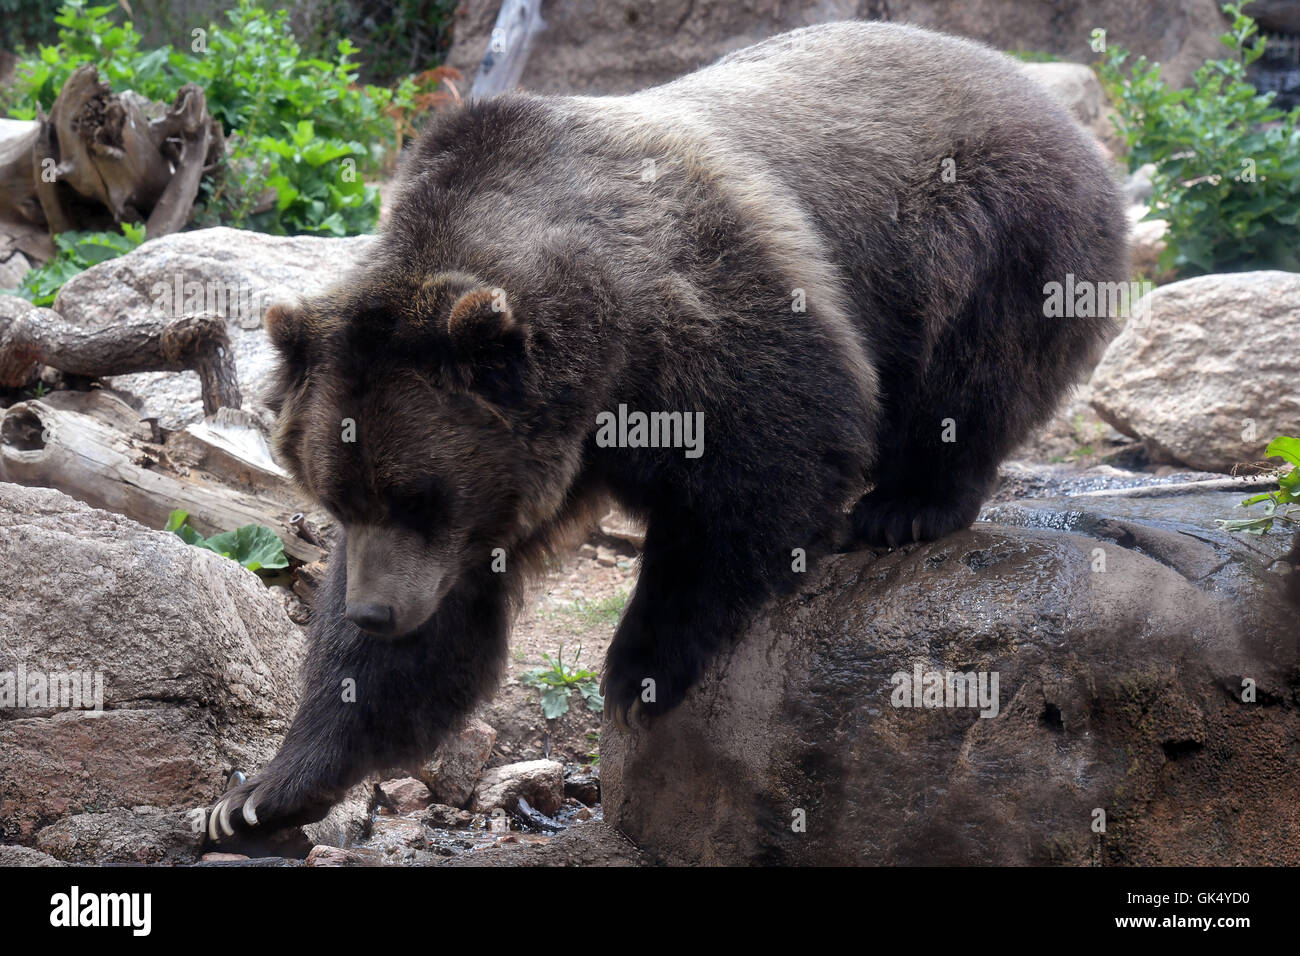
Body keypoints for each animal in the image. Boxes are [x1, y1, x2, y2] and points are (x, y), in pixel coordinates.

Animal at [201, 20, 1127, 842]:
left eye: (417, 495)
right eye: (336, 496)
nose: (375, 613)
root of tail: (1049, 98)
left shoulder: (705, 311)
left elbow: (768, 456)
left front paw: (641, 662)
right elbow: (419, 647)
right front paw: (257, 795)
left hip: (988, 228)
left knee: (973, 369)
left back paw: (907, 505)